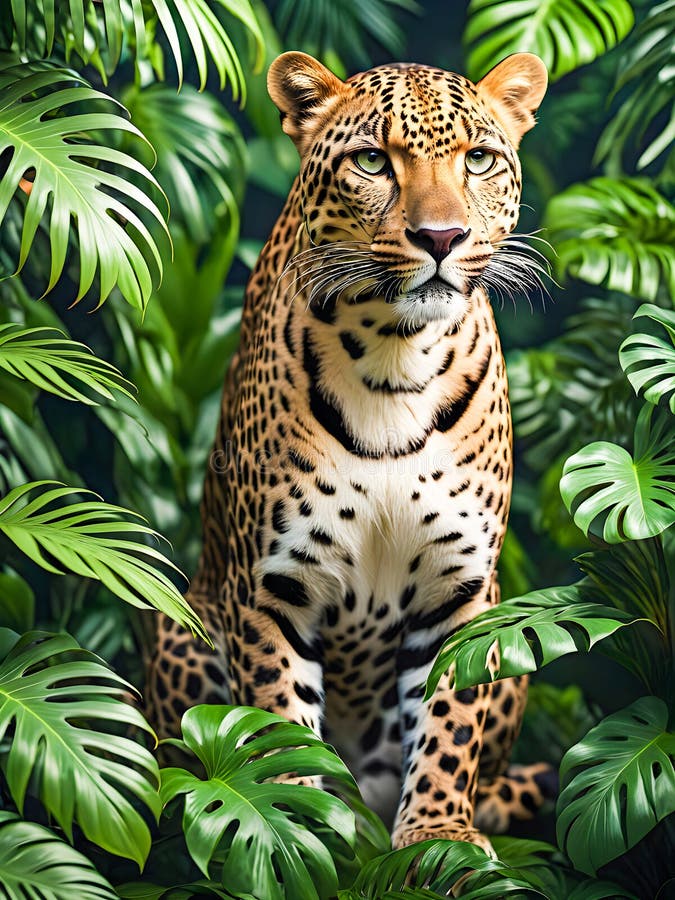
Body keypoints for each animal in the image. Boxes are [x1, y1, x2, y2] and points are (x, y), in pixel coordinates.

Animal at [148, 50, 557, 852]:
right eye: (372, 161)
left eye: (479, 159)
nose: (442, 238)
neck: (395, 358)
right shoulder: (269, 589)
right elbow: (275, 721)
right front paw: (290, 827)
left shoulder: (462, 590)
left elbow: (449, 719)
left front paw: (436, 835)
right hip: (177, 621)